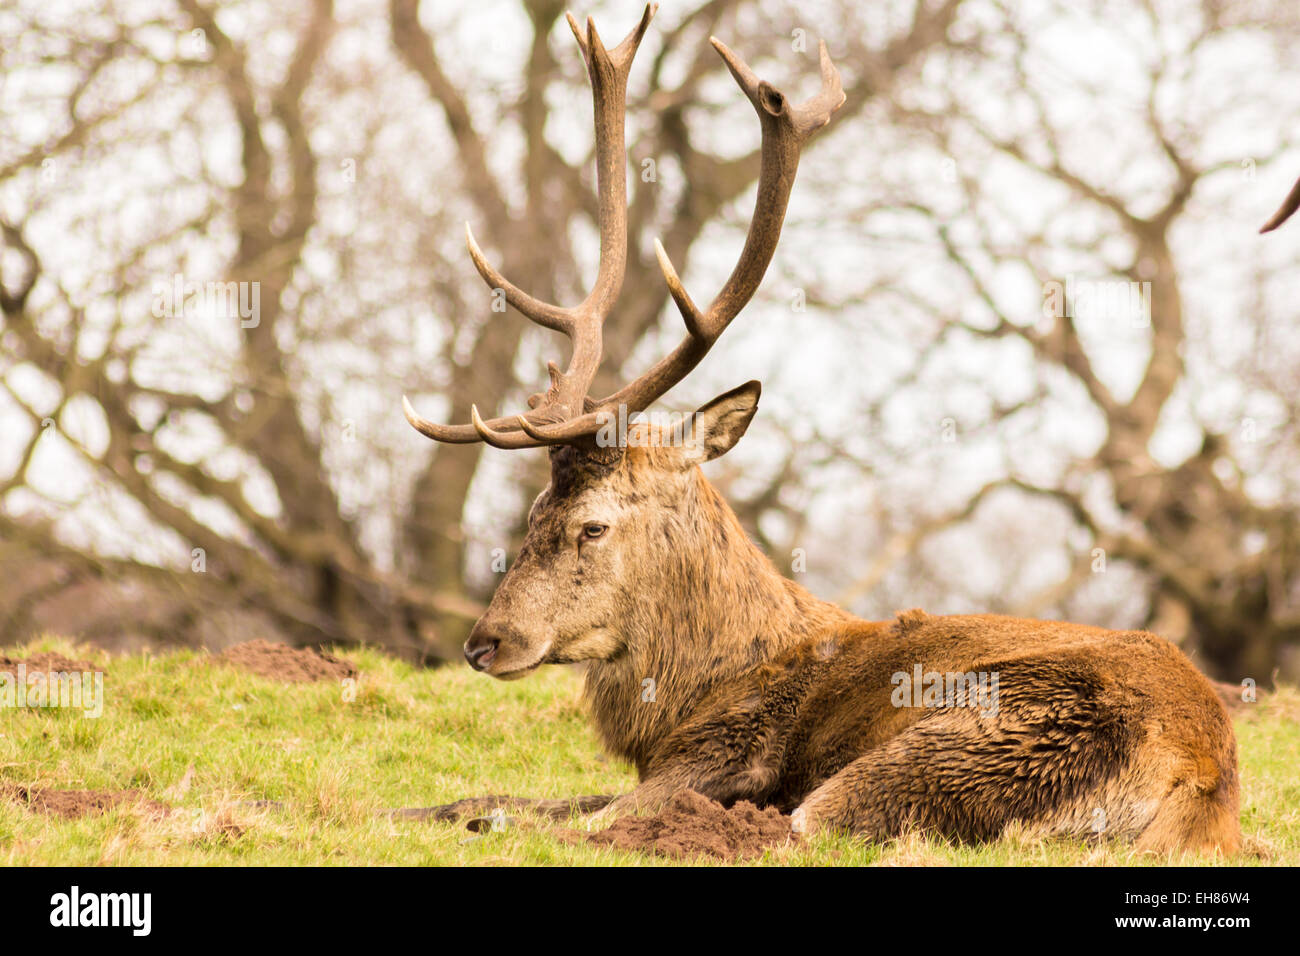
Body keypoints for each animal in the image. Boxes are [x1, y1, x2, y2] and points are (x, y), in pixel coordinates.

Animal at [400, 5, 1240, 854]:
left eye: (593, 526)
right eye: (534, 513)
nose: (484, 642)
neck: (690, 698)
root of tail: (1202, 775)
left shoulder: (721, 753)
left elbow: (552, 812)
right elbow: (483, 795)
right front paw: (407, 810)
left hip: (966, 742)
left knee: (789, 828)